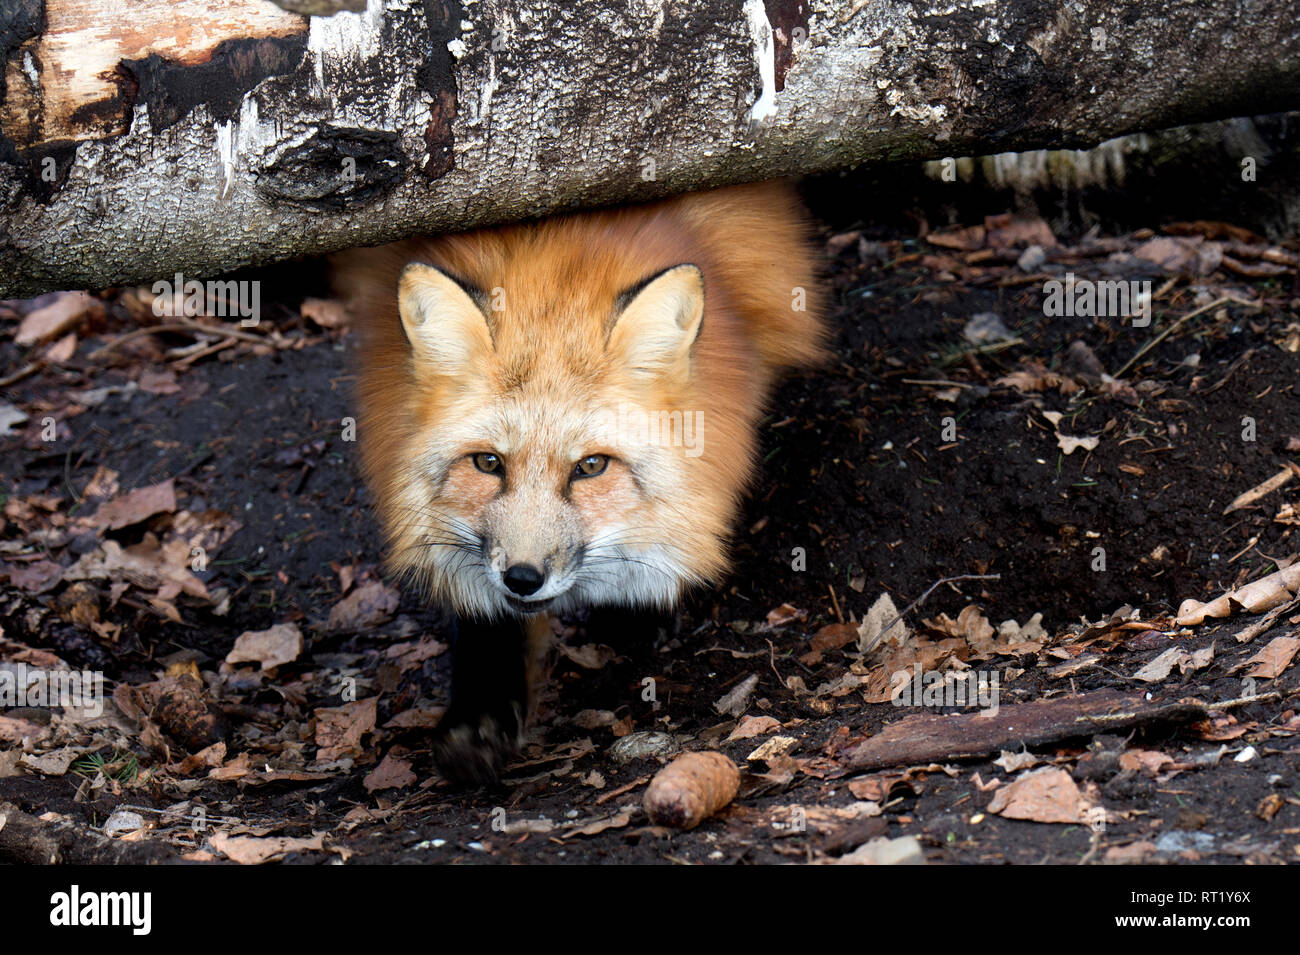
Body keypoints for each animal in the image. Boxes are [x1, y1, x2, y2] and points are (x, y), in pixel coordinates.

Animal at [332, 180, 826, 784]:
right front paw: (481, 716)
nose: (523, 578)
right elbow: (484, 618)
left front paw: (639, 611)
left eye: (590, 467)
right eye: (488, 463)